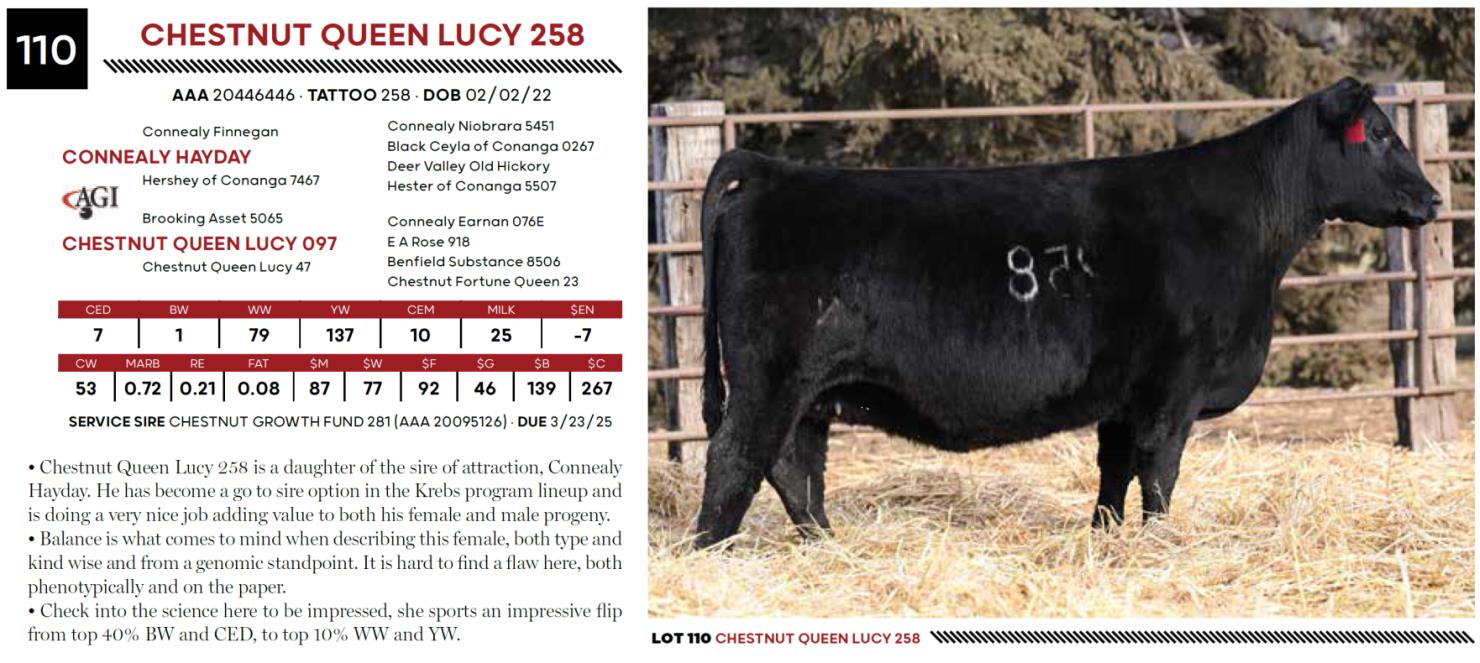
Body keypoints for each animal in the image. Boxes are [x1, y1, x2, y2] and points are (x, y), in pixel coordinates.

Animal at [691, 78, 1441, 548]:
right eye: (1378, 135)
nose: (1433, 199)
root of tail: (769, 169)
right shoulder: (1174, 386)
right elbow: (1158, 471)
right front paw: (1158, 543)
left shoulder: (1125, 395)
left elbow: (1114, 472)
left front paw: (1107, 540)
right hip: (770, 377)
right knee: (736, 457)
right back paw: (709, 552)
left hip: (813, 393)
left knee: (794, 468)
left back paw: (827, 546)